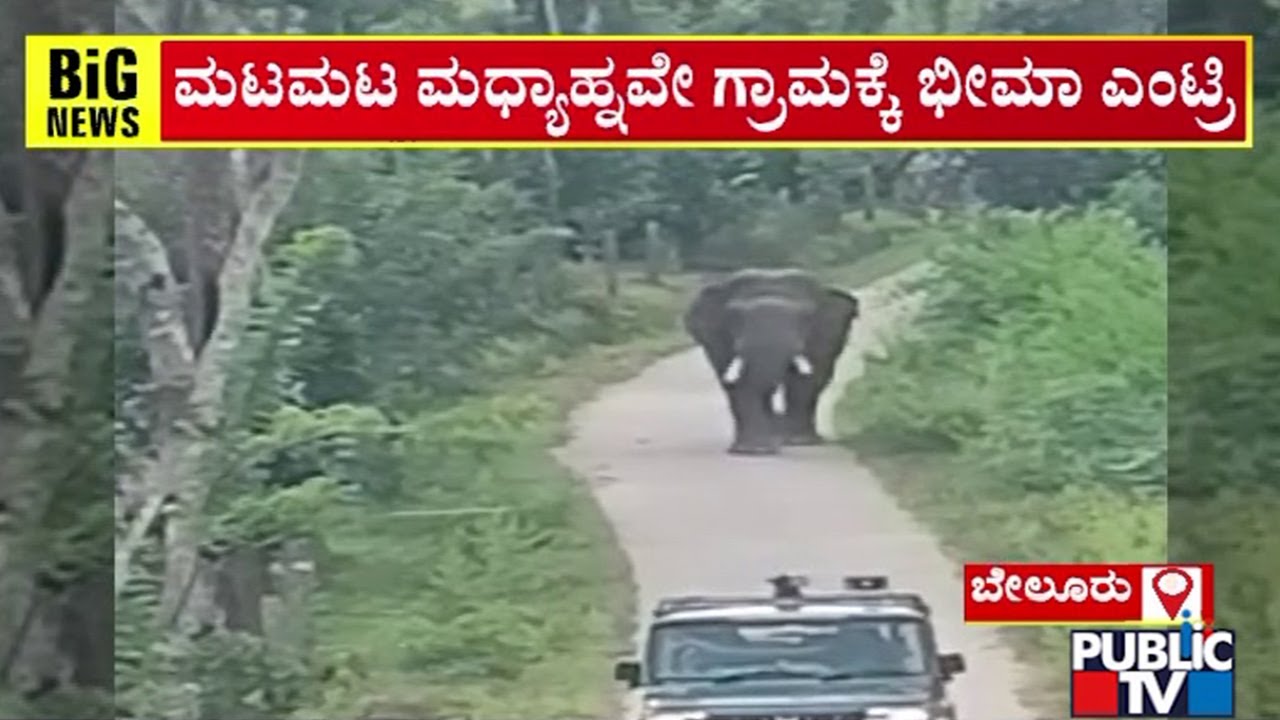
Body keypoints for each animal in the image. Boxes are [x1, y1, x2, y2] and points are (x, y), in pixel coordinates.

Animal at [684, 268, 860, 455]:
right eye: (734, 315)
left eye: (806, 316)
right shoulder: (717, 339)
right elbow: (737, 384)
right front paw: (752, 450)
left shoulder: (826, 335)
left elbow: (807, 381)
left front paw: (799, 442)